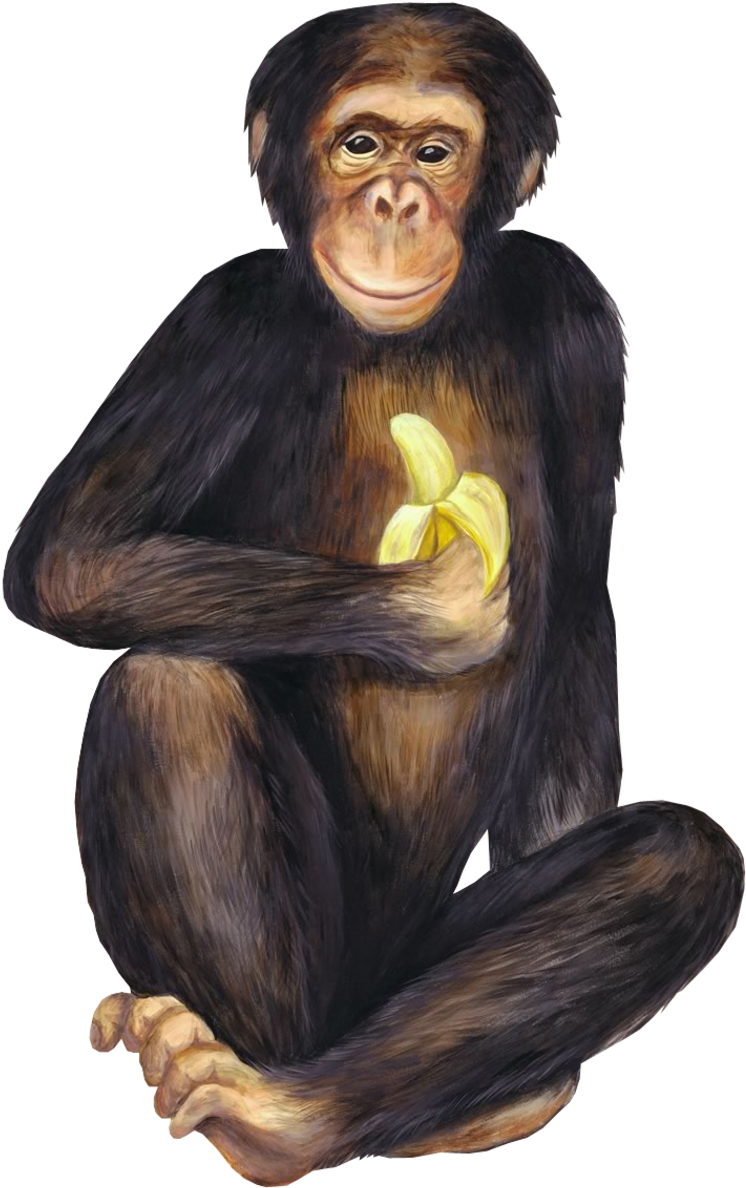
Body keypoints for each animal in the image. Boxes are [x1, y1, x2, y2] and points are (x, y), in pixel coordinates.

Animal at [3, 6, 743, 1186]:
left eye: (434, 151)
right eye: (359, 143)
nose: (395, 202)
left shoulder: (580, 313)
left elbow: (581, 593)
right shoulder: (219, 318)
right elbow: (72, 556)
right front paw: (434, 612)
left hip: (419, 970)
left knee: (677, 858)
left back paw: (351, 1111)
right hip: (316, 996)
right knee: (168, 688)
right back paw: (238, 1088)